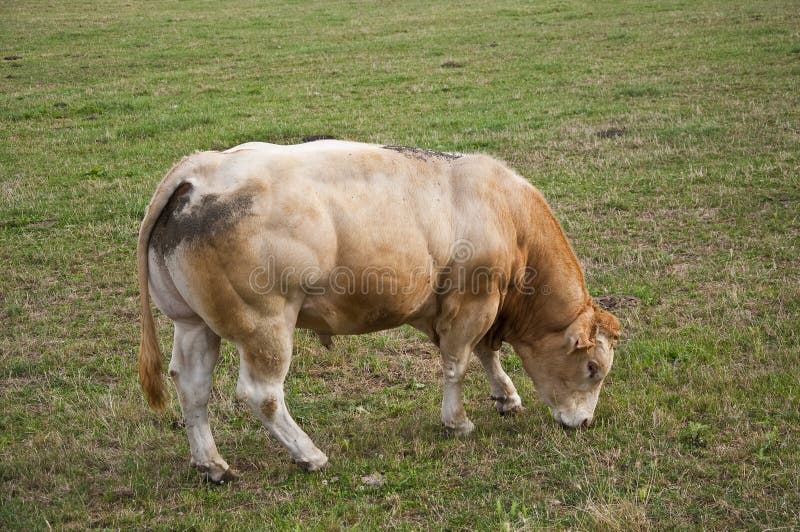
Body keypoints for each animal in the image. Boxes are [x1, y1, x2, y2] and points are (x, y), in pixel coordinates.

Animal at [137, 140, 621, 482]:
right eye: (593, 368)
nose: (585, 422)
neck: (506, 214)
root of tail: (199, 170)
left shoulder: (470, 307)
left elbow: (486, 353)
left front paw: (505, 396)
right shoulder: (472, 302)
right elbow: (458, 362)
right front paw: (458, 421)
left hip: (193, 323)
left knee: (192, 386)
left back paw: (212, 465)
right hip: (266, 325)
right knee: (262, 393)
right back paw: (310, 455)